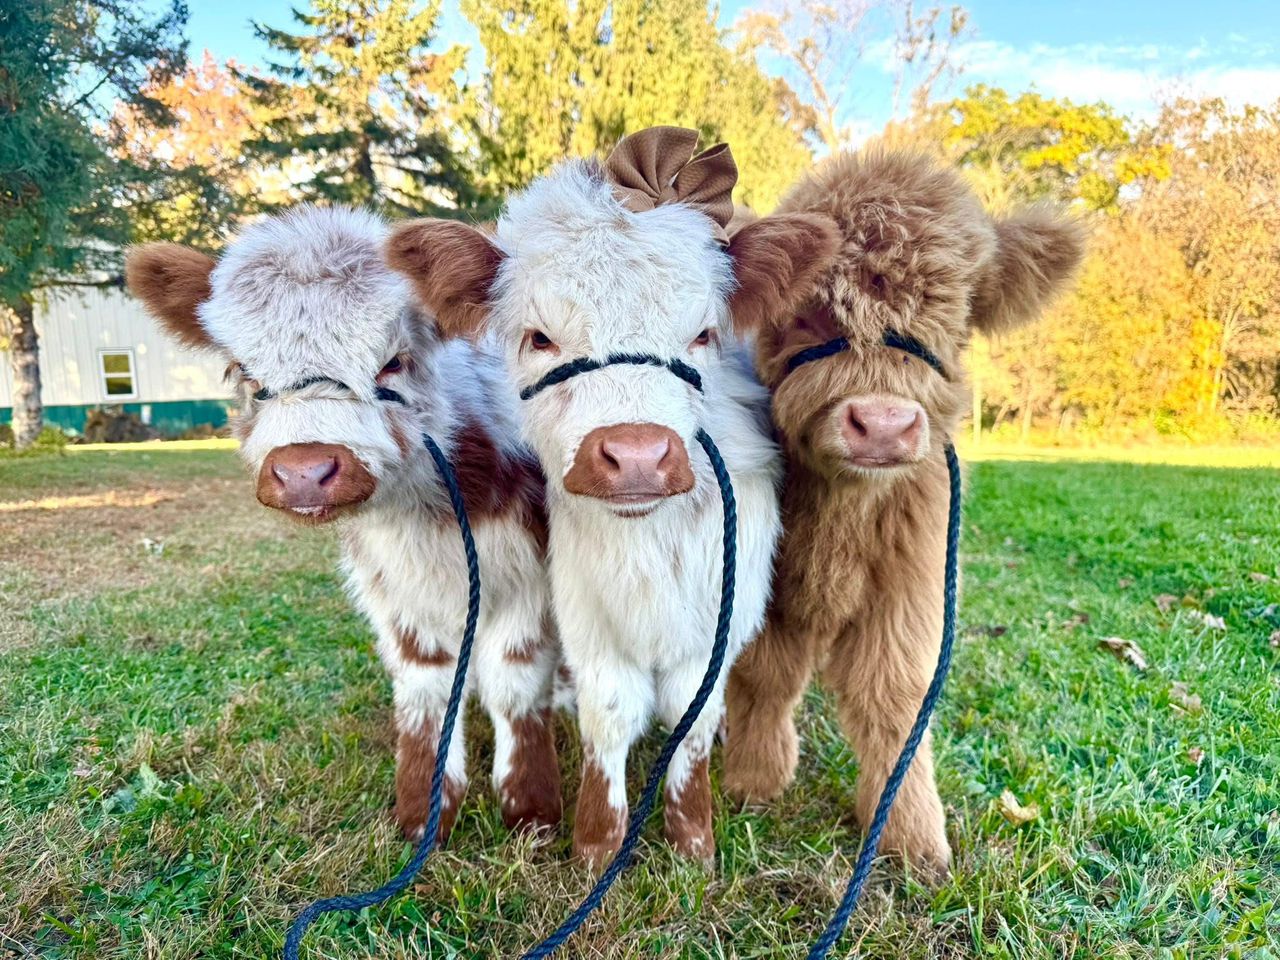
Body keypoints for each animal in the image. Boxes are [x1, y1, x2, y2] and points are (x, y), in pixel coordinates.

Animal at [125, 205, 562, 843]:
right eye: (245, 373)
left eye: (393, 361)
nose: (305, 471)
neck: (425, 522)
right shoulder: (390, 584)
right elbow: (423, 687)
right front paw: (422, 812)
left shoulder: (529, 572)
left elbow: (516, 680)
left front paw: (532, 812)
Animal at [386, 128, 840, 870]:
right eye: (540, 337)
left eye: (702, 334)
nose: (636, 456)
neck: (647, 544)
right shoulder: (586, 614)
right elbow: (609, 714)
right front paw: (598, 844)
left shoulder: (715, 620)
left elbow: (691, 723)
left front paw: (693, 844)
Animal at [722, 150, 1085, 875]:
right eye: (809, 317)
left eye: (954, 320)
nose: (884, 425)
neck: (840, 513)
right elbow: (764, 674)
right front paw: (754, 779)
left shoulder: (912, 584)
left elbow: (896, 696)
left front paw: (913, 836)